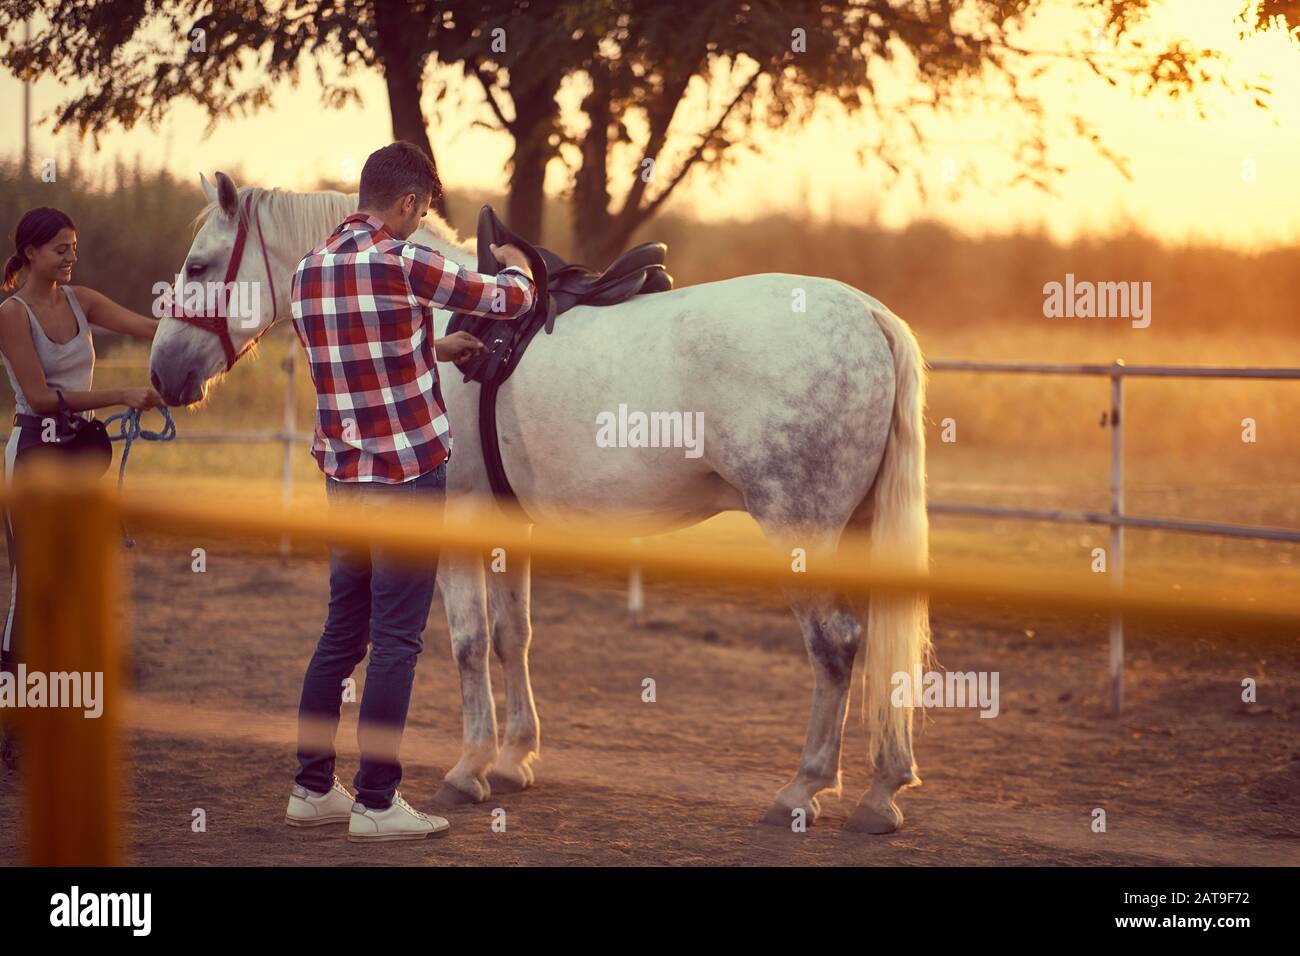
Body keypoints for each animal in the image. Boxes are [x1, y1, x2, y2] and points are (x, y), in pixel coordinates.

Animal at [149, 171, 931, 834]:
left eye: (198, 266)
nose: (163, 374)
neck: (438, 318)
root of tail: (870, 315)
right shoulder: (506, 524)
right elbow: (511, 637)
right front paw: (513, 758)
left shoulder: (455, 518)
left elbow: (468, 643)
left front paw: (469, 768)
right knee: (864, 648)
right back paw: (880, 790)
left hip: (801, 529)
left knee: (836, 645)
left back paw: (805, 789)